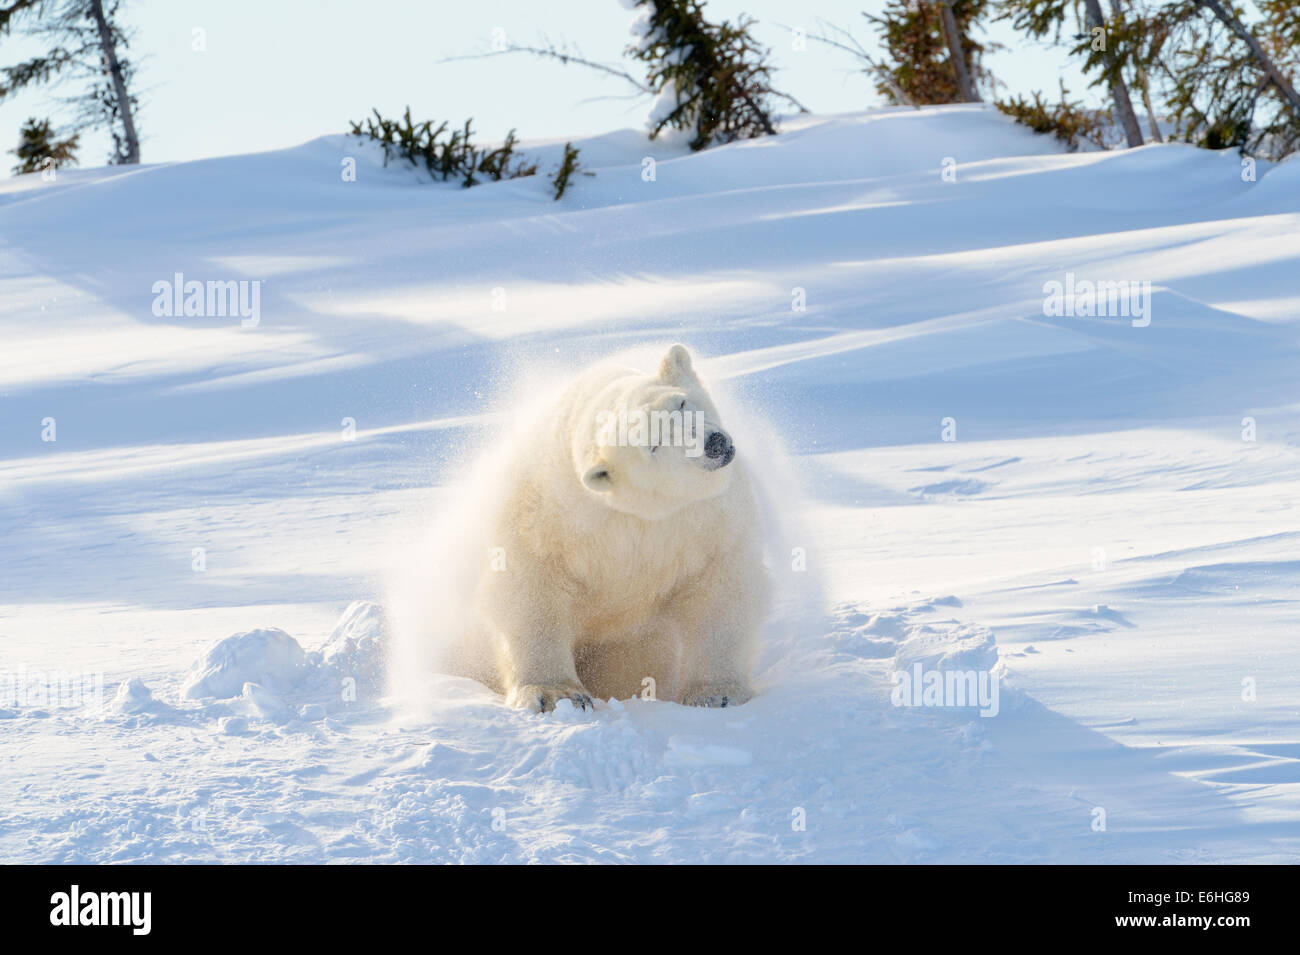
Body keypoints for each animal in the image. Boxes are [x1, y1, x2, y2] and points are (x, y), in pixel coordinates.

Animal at [450, 344, 770, 713]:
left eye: (681, 403)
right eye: (654, 444)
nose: (714, 443)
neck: (641, 509)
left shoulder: (706, 519)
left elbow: (719, 589)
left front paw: (716, 694)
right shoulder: (544, 516)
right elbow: (529, 588)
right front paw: (555, 694)